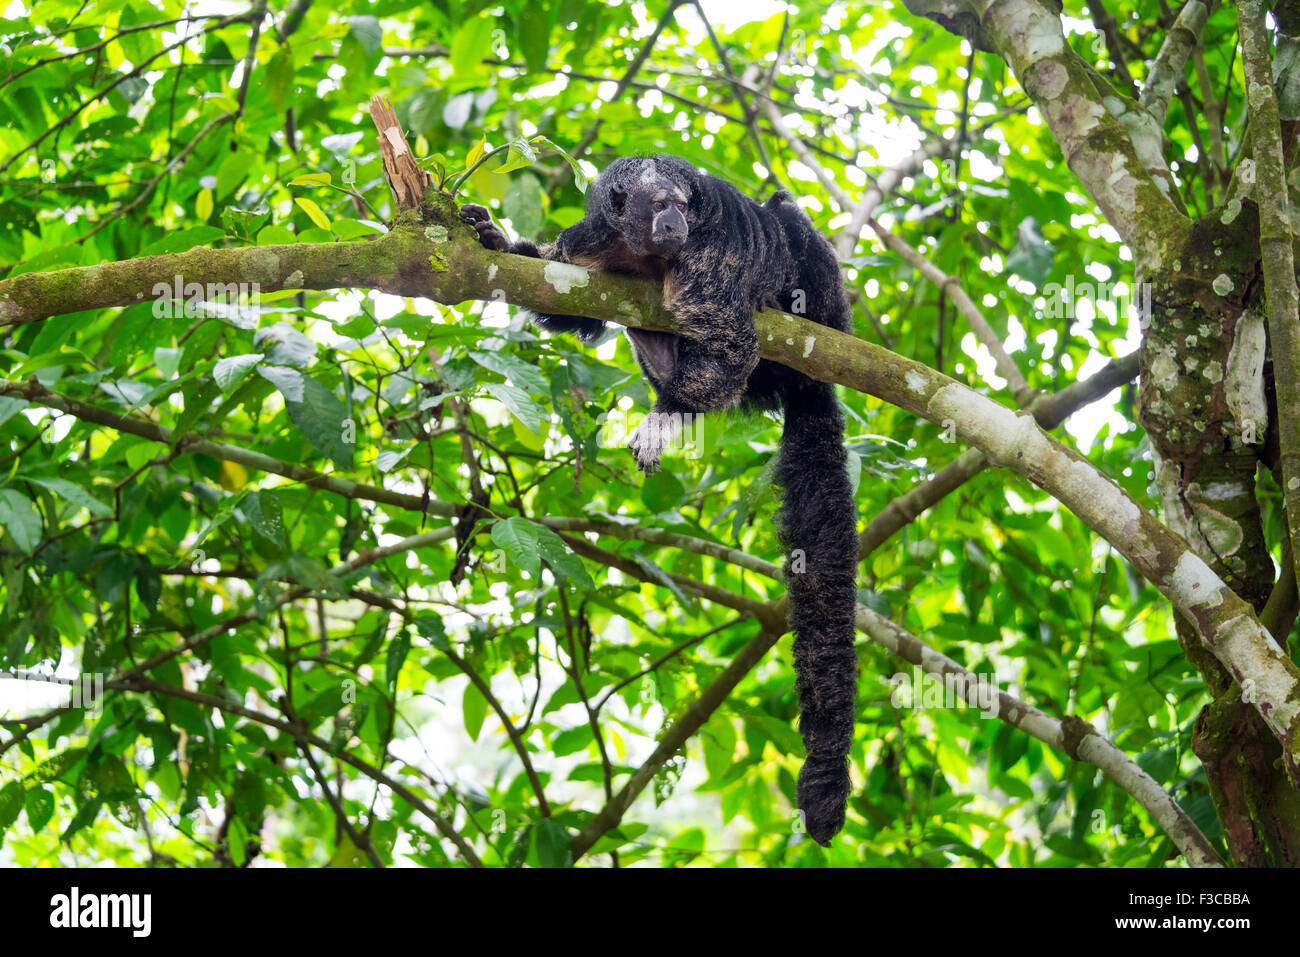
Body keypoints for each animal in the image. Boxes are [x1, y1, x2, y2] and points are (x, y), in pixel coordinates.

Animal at [460, 154, 860, 846]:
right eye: (657, 206)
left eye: (680, 205)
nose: (674, 222)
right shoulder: (589, 243)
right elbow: (575, 310)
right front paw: (496, 243)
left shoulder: (709, 257)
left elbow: (728, 343)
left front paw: (663, 418)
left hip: (824, 315)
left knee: (785, 218)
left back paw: (800, 313)